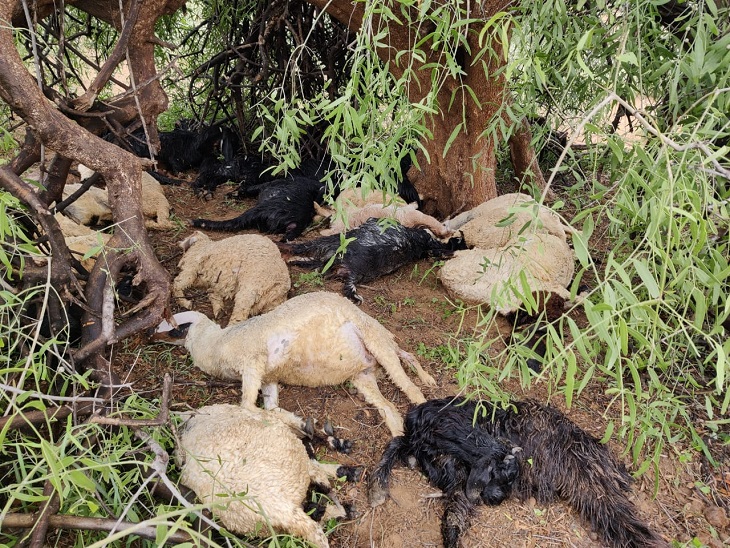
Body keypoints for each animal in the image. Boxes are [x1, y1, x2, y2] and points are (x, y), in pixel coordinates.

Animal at [155, 291, 437, 436]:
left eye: (171, 329)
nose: (149, 337)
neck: (215, 343)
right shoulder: (267, 378)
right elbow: (271, 408)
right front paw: (301, 424)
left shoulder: (253, 363)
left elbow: (247, 406)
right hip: (363, 375)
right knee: (389, 404)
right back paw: (397, 434)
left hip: (374, 337)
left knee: (409, 381)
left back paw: (427, 393)